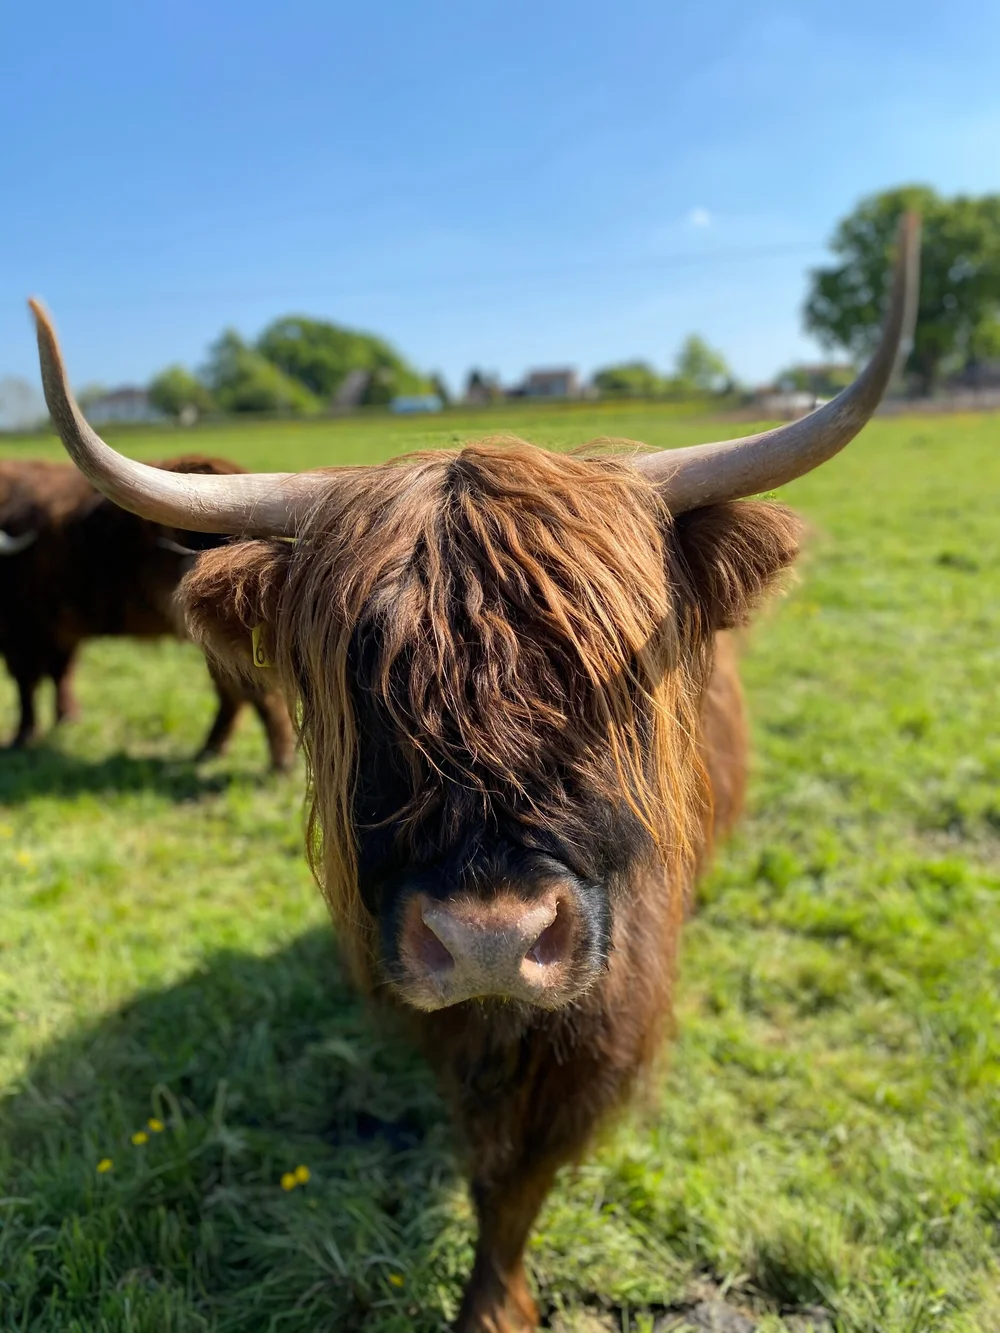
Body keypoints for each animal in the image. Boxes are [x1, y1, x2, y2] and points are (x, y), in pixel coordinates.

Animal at [0, 454, 295, 768]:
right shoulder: (59, 631)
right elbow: (59, 673)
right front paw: (65, 720)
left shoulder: (20, 630)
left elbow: (26, 683)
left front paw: (22, 737)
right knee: (235, 692)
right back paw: (211, 751)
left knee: (254, 693)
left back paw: (279, 763)